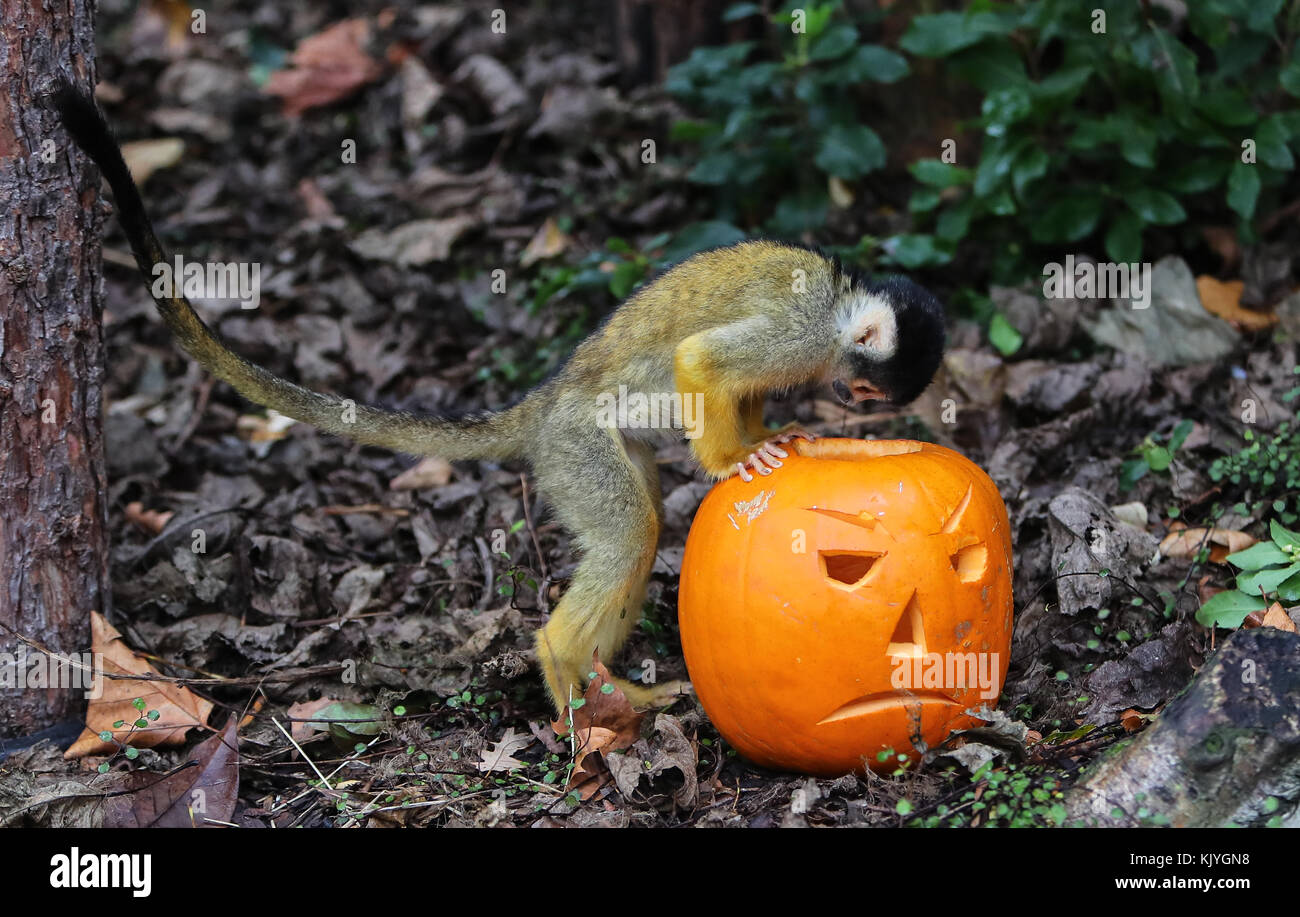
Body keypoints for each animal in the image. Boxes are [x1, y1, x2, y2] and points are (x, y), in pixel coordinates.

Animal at [51, 84, 946, 715]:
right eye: (862, 385)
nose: (855, 404)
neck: (840, 306)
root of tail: (548, 400)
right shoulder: (802, 332)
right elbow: (701, 360)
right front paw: (735, 457)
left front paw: (769, 433)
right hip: (575, 445)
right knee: (630, 527)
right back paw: (566, 670)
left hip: (577, 455)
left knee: (637, 520)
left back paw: (608, 687)